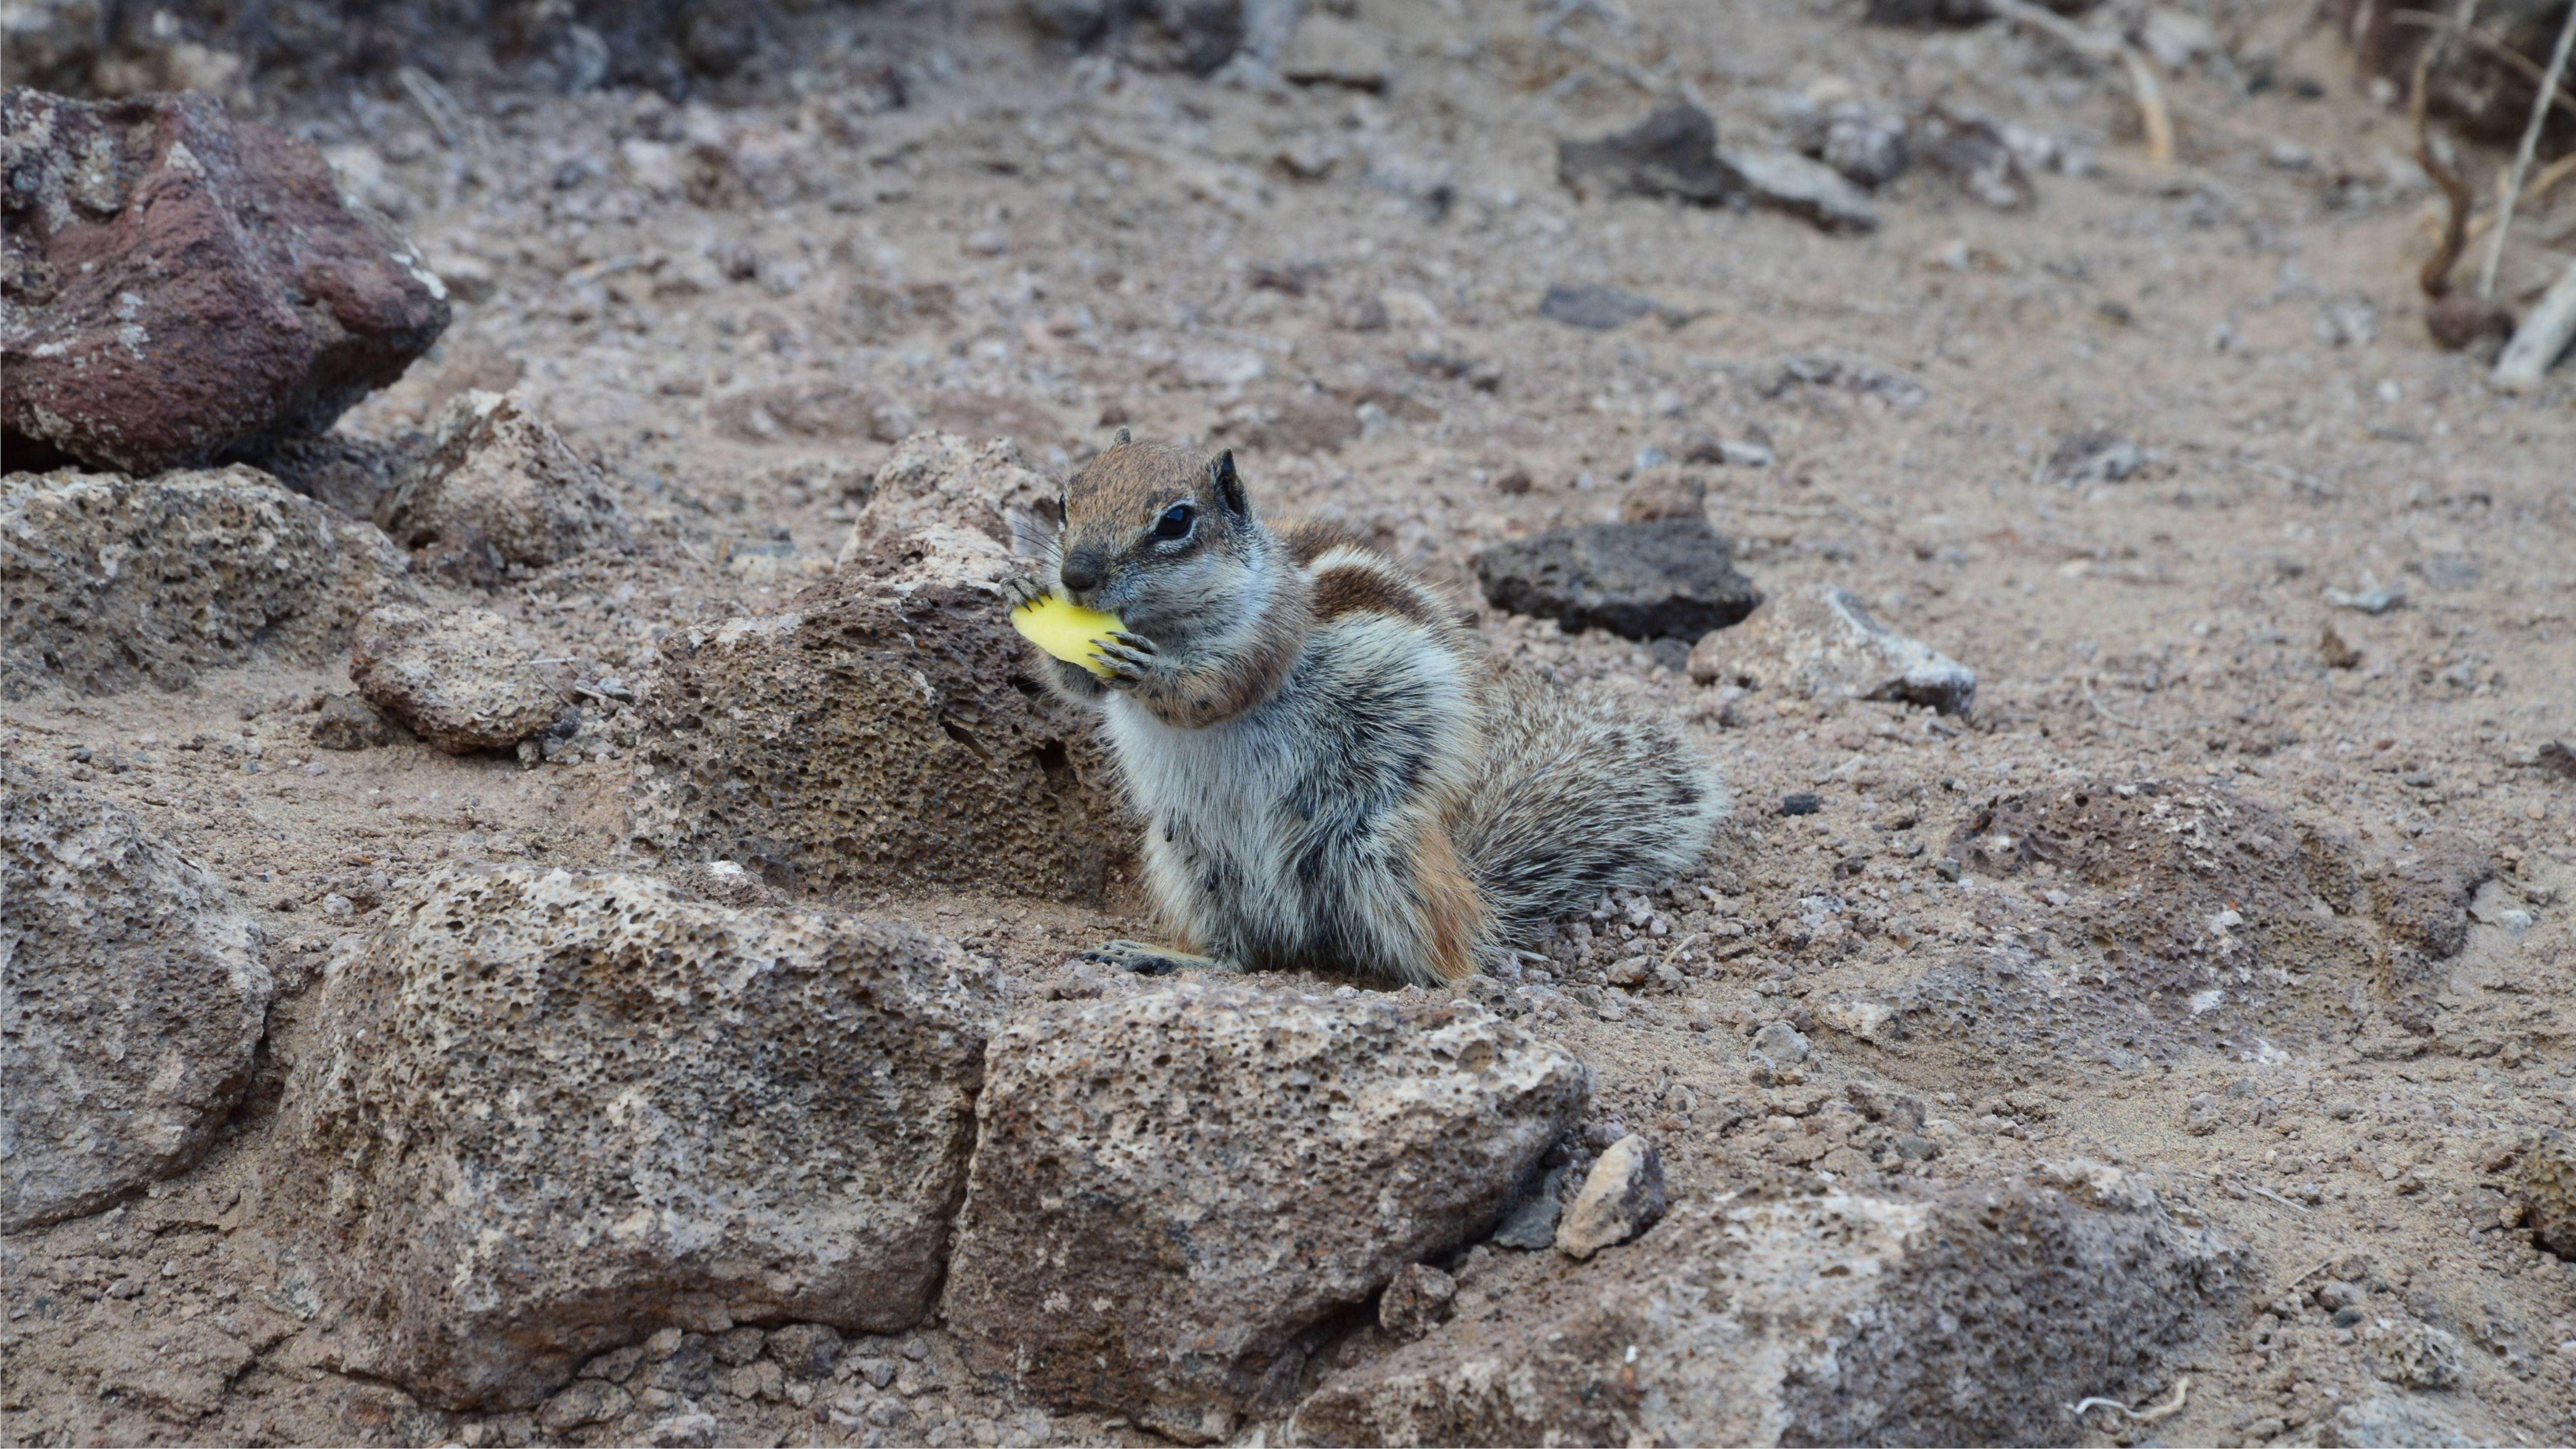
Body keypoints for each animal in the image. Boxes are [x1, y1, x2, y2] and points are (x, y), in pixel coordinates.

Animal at [1006, 433, 1727, 988]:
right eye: (1065, 500)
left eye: (1176, 522)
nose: (1075, 576)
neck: (1163, 624)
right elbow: (1079, 687)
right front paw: (1022, 590)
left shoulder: (1269, 635)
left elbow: (1213, 692)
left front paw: (1150, 671)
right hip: (1189, 858)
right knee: (1241, 956)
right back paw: (1166, 956)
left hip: (1378, 852)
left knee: (1445, 953)